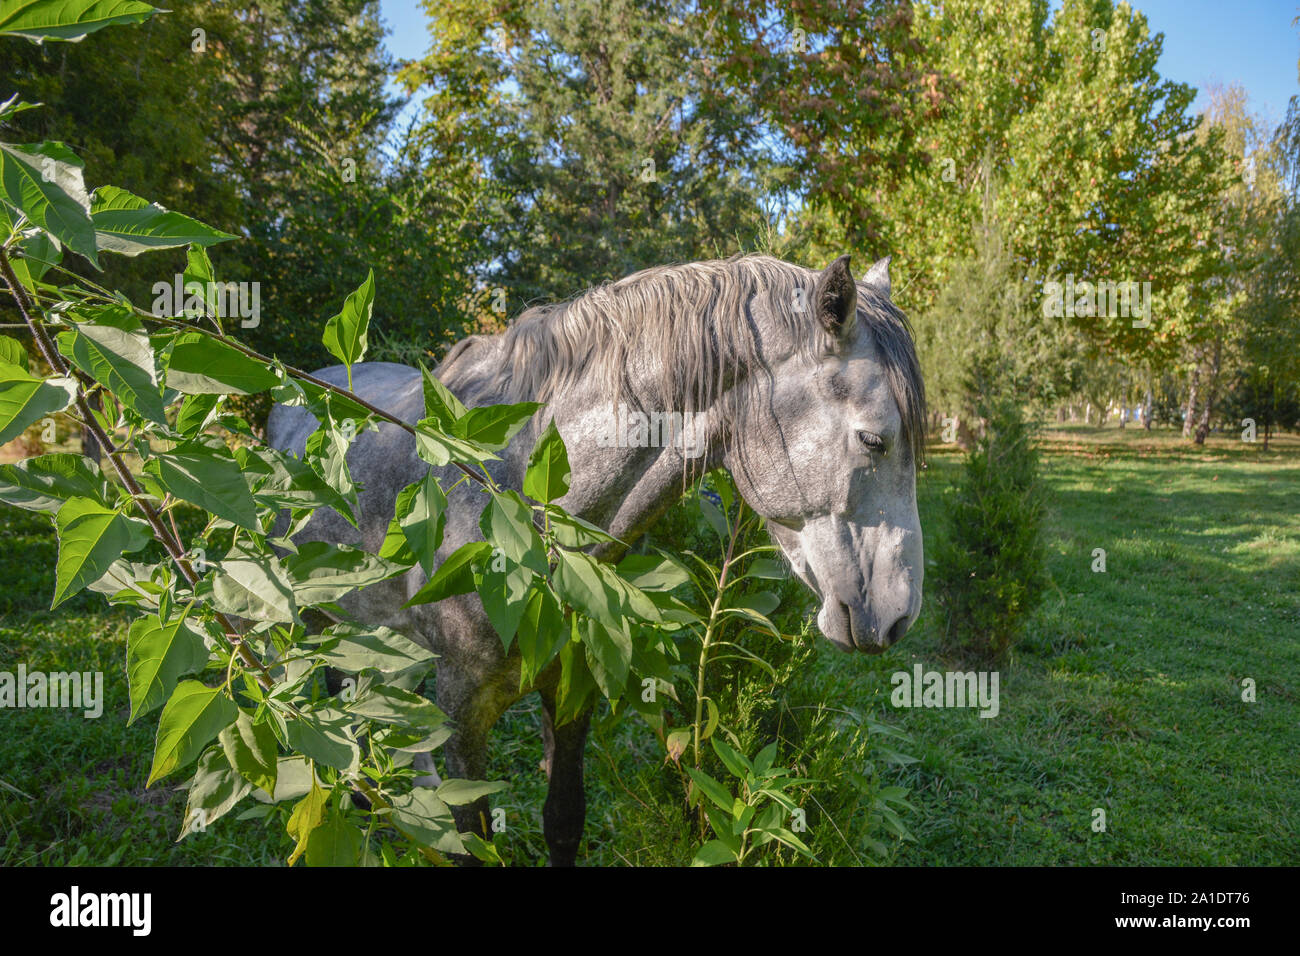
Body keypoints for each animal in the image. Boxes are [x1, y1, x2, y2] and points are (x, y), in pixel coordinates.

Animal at [266, 252, 927, 865]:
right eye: (873, 439)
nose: (896, 617)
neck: (517, 510)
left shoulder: (572, 689)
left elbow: (563, 819)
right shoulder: (460, 707)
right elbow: (472, 837)